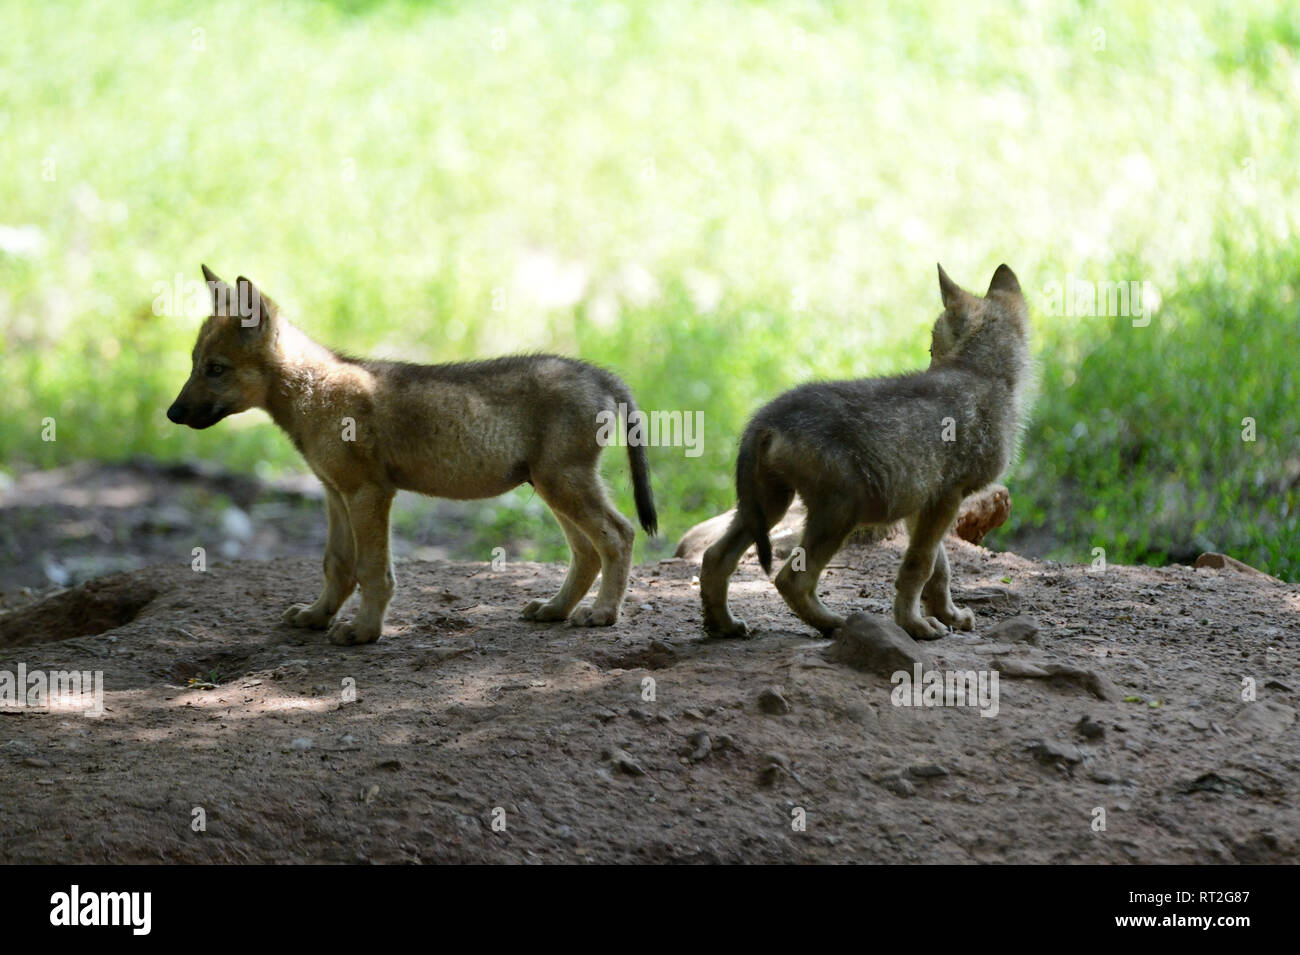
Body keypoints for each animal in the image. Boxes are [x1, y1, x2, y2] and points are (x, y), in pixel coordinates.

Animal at [167, 266, 657, 645]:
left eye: (216, 369)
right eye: (193, 364)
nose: (171, 414)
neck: (312, 393)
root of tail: (597, 372)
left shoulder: (369, 493)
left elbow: (372, 571)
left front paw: (363, 631)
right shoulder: (334, 493)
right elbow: (336, 565)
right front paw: (317, 616)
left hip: (563, 483)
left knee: (618, 535)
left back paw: (602, 614)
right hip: (551, 486)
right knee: (587, 551)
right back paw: (555, 609)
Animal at [699, 264, 1031, 641]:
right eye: (931, 348)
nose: (927, 368)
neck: (981, 373)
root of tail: (766, 419)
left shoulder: (923, 504)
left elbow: (938, 570)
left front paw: (949, 616)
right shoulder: (947, 496)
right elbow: (918, 568)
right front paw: (915, 626)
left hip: (769, 505)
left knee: (715, 558)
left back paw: (724, 626)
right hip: (841, 510)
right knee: (790, 580)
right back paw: (833, 623)